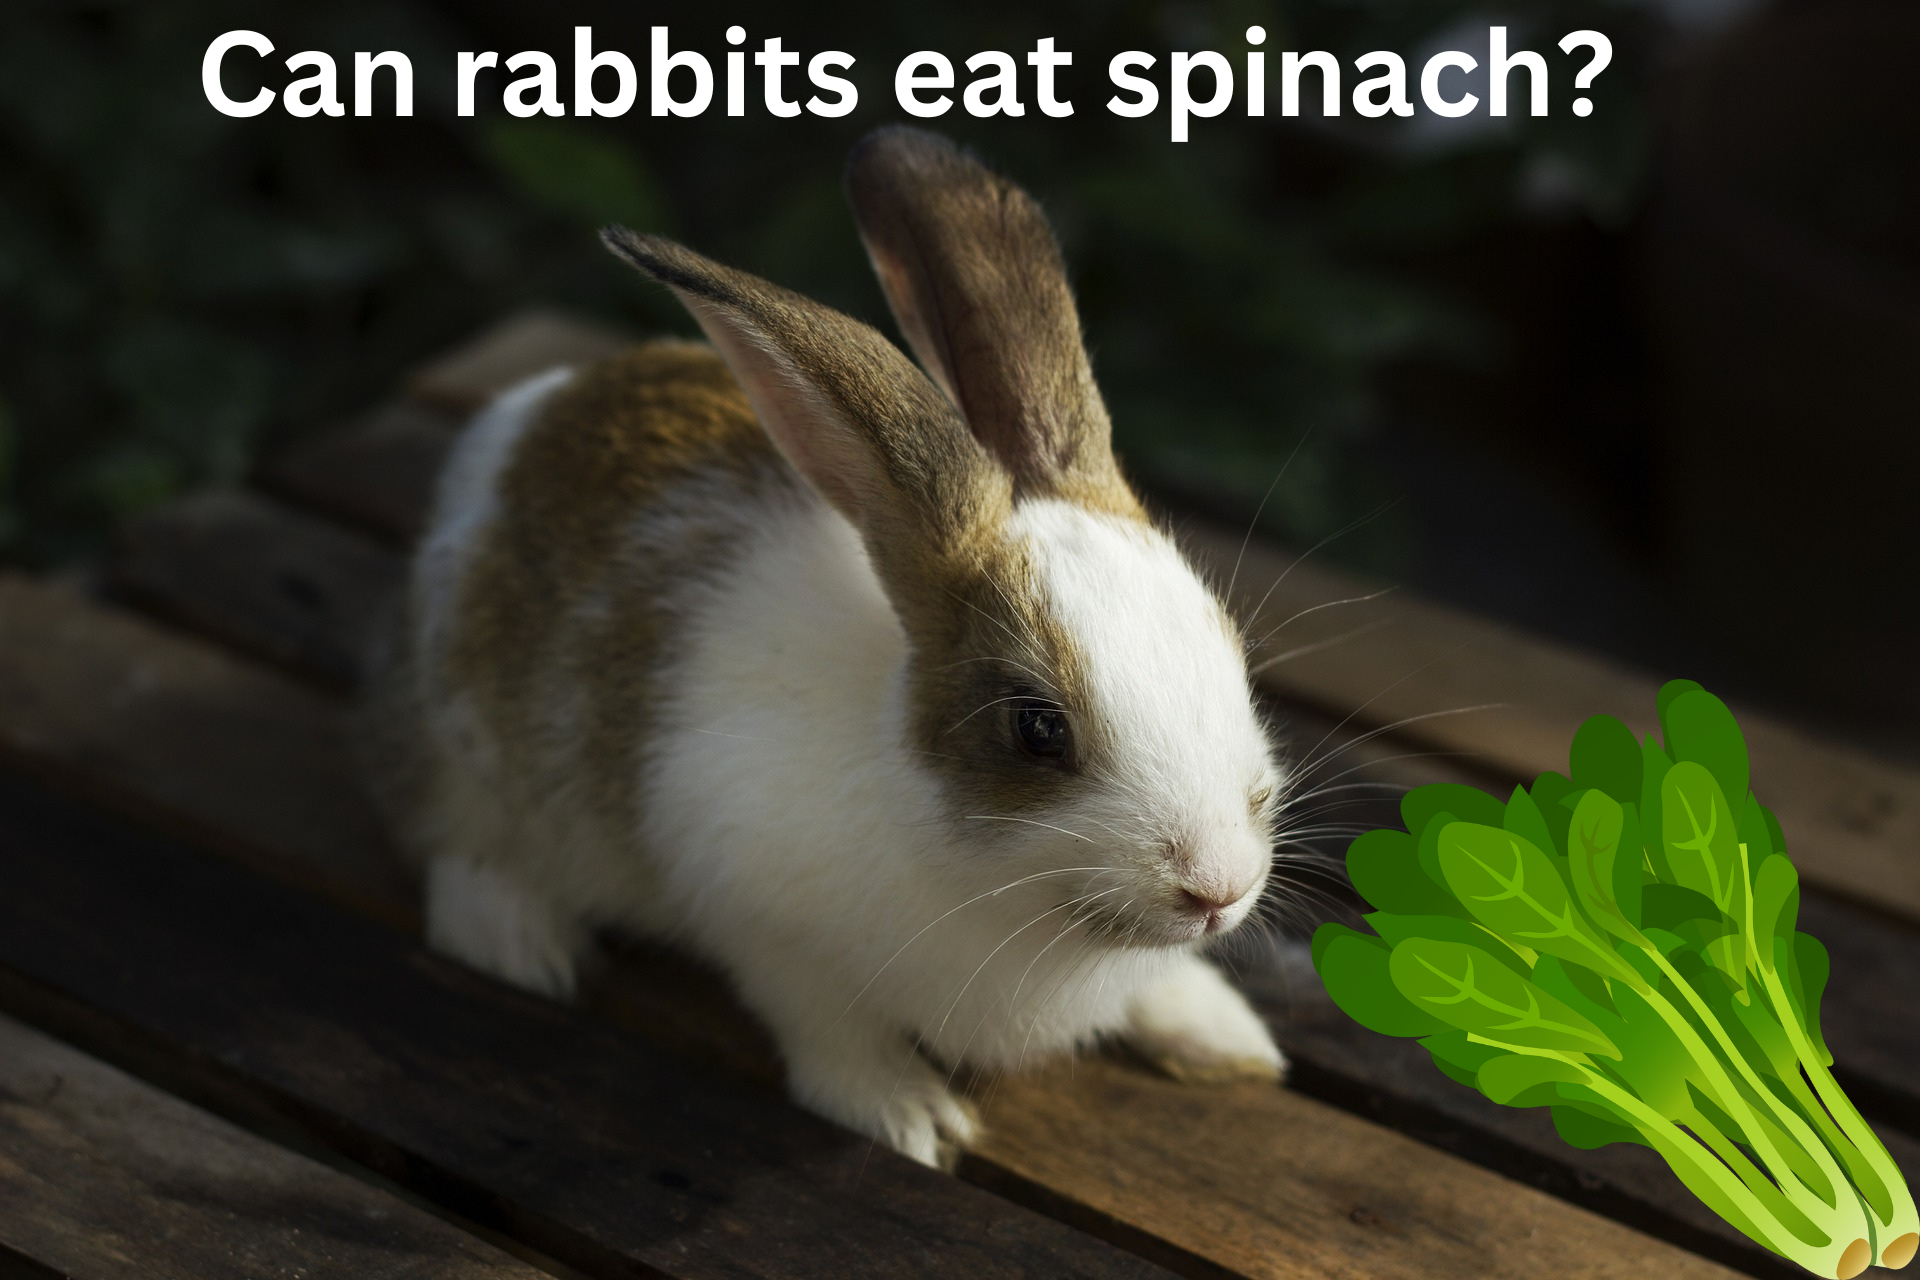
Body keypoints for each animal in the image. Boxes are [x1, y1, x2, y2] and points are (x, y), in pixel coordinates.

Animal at [377, 125, 1288, 1168]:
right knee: (457, 840)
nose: (1218, 887)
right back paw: (518, 946)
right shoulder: (757, 909)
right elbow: (826, 1027)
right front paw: (908, 1117)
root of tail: (517, 422)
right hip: (468, 742)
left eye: (1232, 656)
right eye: (1036, 729)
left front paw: (1223, 1034)